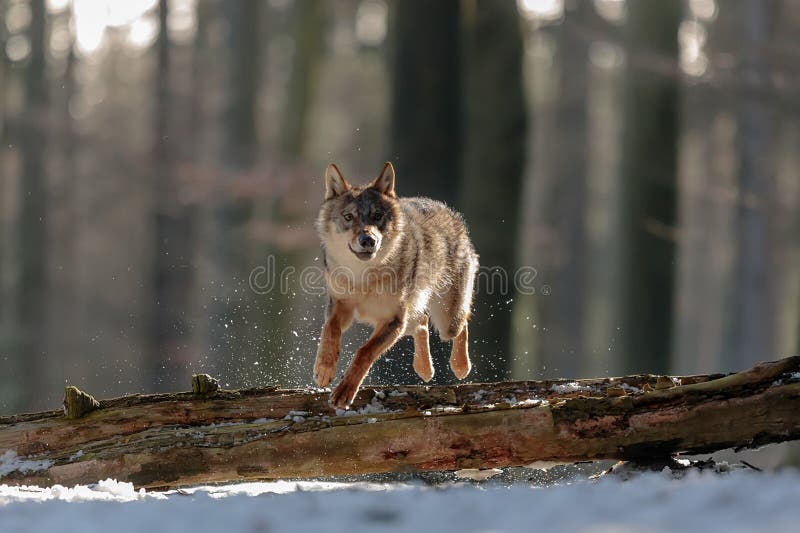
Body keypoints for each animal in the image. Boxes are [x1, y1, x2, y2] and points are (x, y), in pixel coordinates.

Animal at [314, 162, 479, 409]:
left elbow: (364, 352)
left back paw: (461, 367)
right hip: (411, 318)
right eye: (348, 216)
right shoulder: (341, 305)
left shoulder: (393, 320)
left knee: (461, 324)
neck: (364, 276)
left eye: (377, 215)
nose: (368, 240)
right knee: (421, 322)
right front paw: (324, 369)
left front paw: (344, 391)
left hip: (446, 321)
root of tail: (451, 212)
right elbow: (329, 330)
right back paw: (425, 369)